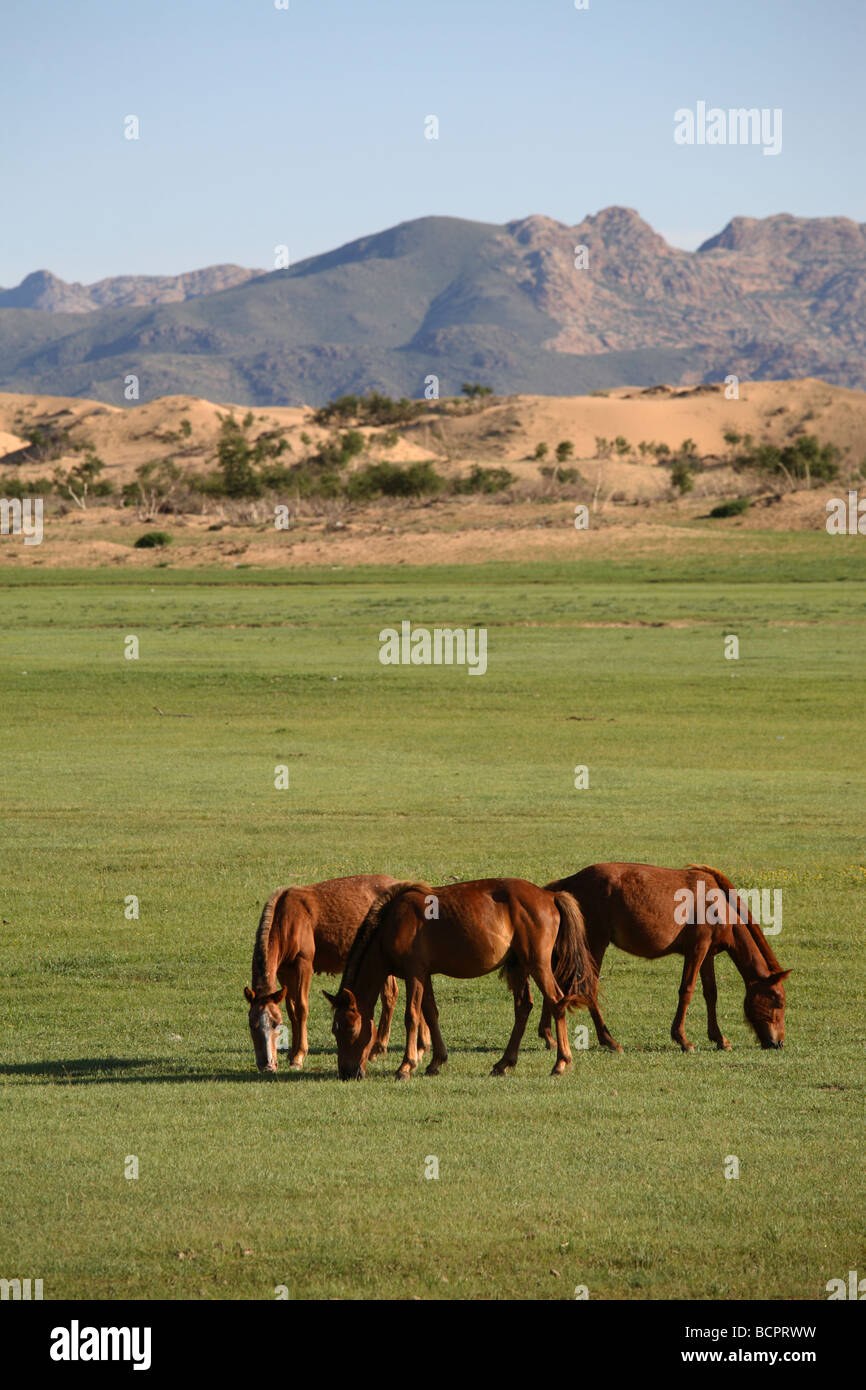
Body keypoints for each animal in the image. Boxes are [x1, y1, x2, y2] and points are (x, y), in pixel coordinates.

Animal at [243, 874, 430, 1072]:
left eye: (276, 1024)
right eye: (252, 1025)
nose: (267, 1064)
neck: (287, 918)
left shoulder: (304, 965)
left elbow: (301, 1007)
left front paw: (299, 1055)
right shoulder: (284, 971)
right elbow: (292, 1009)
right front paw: (292, 1053)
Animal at [324, 877, 598, 1080]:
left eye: (349, 1028)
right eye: (334, 1030)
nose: (346, 1073)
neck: (392, 923)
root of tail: (549, 896)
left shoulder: (414, 974)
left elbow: (412, 1016)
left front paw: (406, 1066)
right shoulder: (425, 976)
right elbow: (430, 1014)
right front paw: (435, 1061)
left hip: (537, 965)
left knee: (556, 1001)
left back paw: (561, 1062)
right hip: (519, 966)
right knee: (523, 1008)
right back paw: (504, 1063)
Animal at [538, 863, 790, 1052]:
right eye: (778, 1001)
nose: (778, 1043)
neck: (717, 903)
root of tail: (569, 882)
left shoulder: (707, 954)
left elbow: (711, 993)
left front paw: (719, 1038)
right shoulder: (697, 950)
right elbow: (687, 990)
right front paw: (682, 1039)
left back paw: (549, 1035)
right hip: (593, 945)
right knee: (587, 986)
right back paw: (608, 1040)